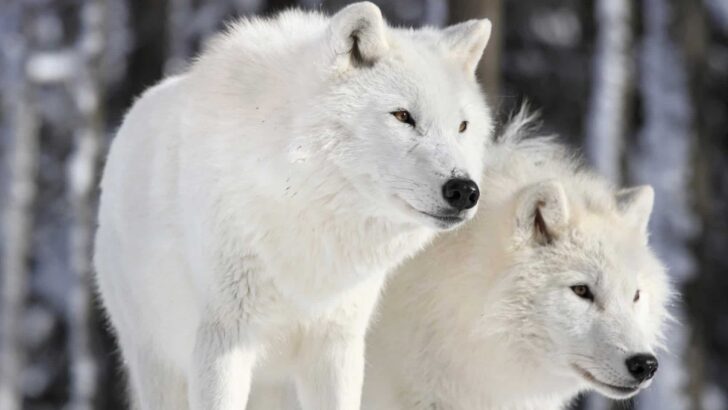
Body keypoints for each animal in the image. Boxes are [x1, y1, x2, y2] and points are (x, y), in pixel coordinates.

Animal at [93, 3, 493, 410]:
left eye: (462, 126)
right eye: (402, 116)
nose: (465, 190)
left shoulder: (337, 346)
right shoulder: (222, 341)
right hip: (159, 367)